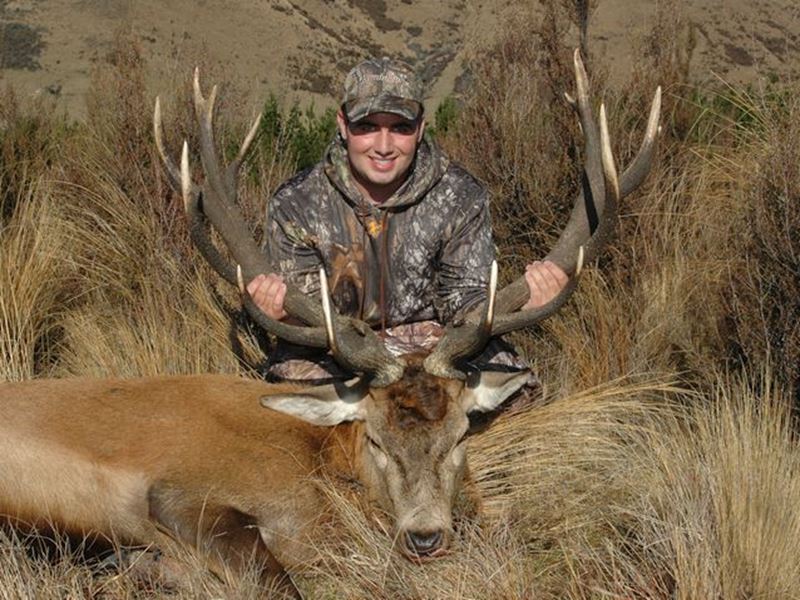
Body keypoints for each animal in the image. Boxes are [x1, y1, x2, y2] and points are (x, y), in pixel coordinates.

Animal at [0, 51, 660, 598]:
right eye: (377, 440)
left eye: (459, 438)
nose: (425, 537)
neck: (319, 476)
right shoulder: (181, 491)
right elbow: (276, 580)